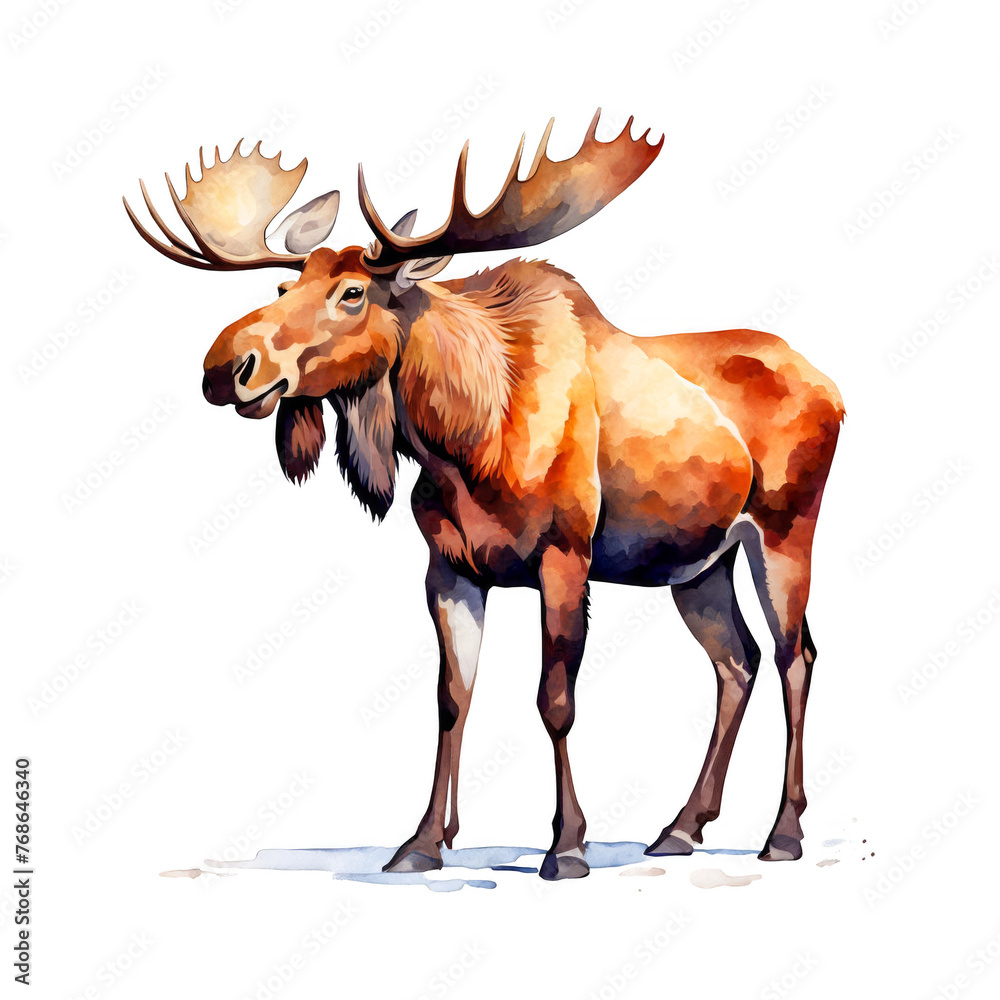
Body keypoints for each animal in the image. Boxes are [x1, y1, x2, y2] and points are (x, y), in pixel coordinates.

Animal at [125, 111, 844, 880]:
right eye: (286, 289)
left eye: (352, 293)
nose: (226, 366)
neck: (462, 442)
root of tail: (834, 387)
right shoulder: (450, 567)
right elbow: (451, 699)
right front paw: (421, 841)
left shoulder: (565, 558)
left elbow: (555, 700)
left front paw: (566, 846)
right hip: (697, 564)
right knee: (736, 662)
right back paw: (680, 827)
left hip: (784, 531)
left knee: (795, 657)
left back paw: (783, 834)